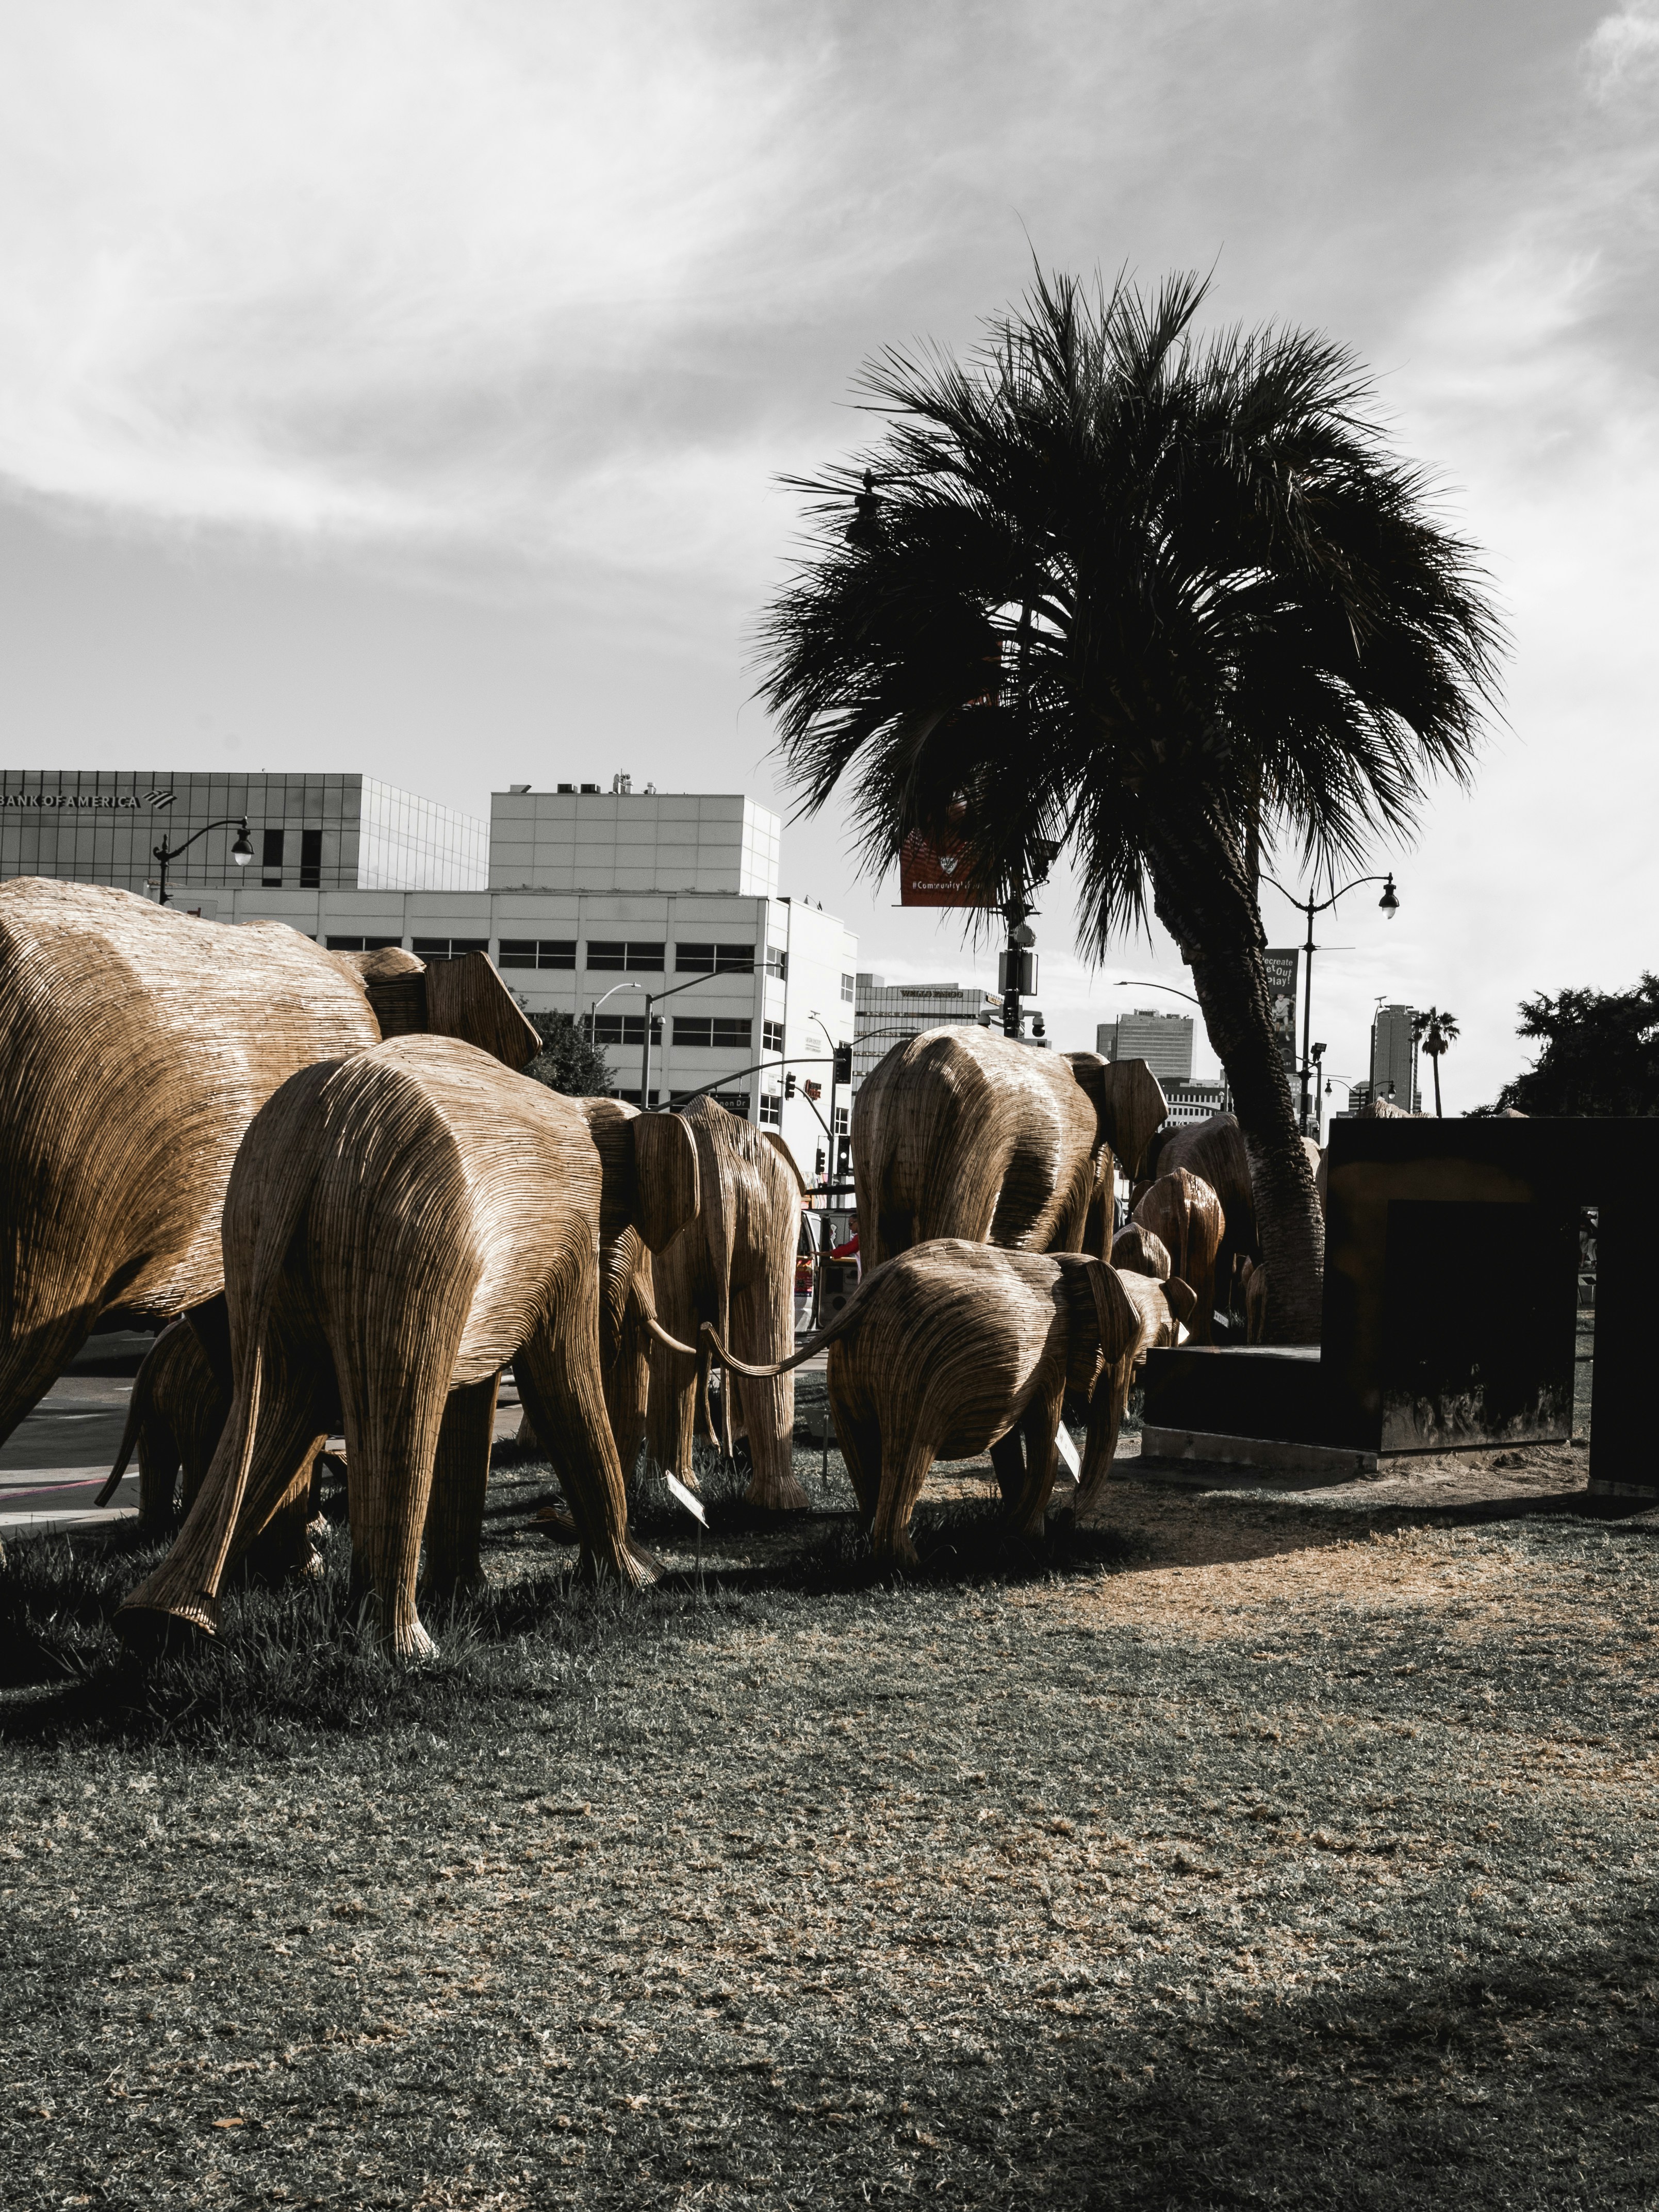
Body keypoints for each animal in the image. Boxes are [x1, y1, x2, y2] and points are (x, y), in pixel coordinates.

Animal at [117, 1035, 698, 1661]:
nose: (548, 1518)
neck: (585, 1111)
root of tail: (312, 1130)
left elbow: (475, 1398)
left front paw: (466, 1593)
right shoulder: (566, 1238)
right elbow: (561, 1383)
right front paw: (644, 1579)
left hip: (256, 1241)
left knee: (275, 1405)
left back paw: (162, 1626)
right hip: (406, 1245)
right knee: (397, 1405)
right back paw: (406, 1652)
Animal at [705, 1239, 1195, 1567]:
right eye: (1140, 1345)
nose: (1066, 1516)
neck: (1074, 1262)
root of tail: (864, 1295)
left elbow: (1010, 1441)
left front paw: (1016, 1534)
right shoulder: (1049, 1353)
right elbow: (1041, 1434)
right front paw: (1023, 1537)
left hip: (850, 1368)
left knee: (863, 1449)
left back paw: (872, 1543)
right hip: (918, 1368)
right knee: (909, 1450)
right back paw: (915, 1561)